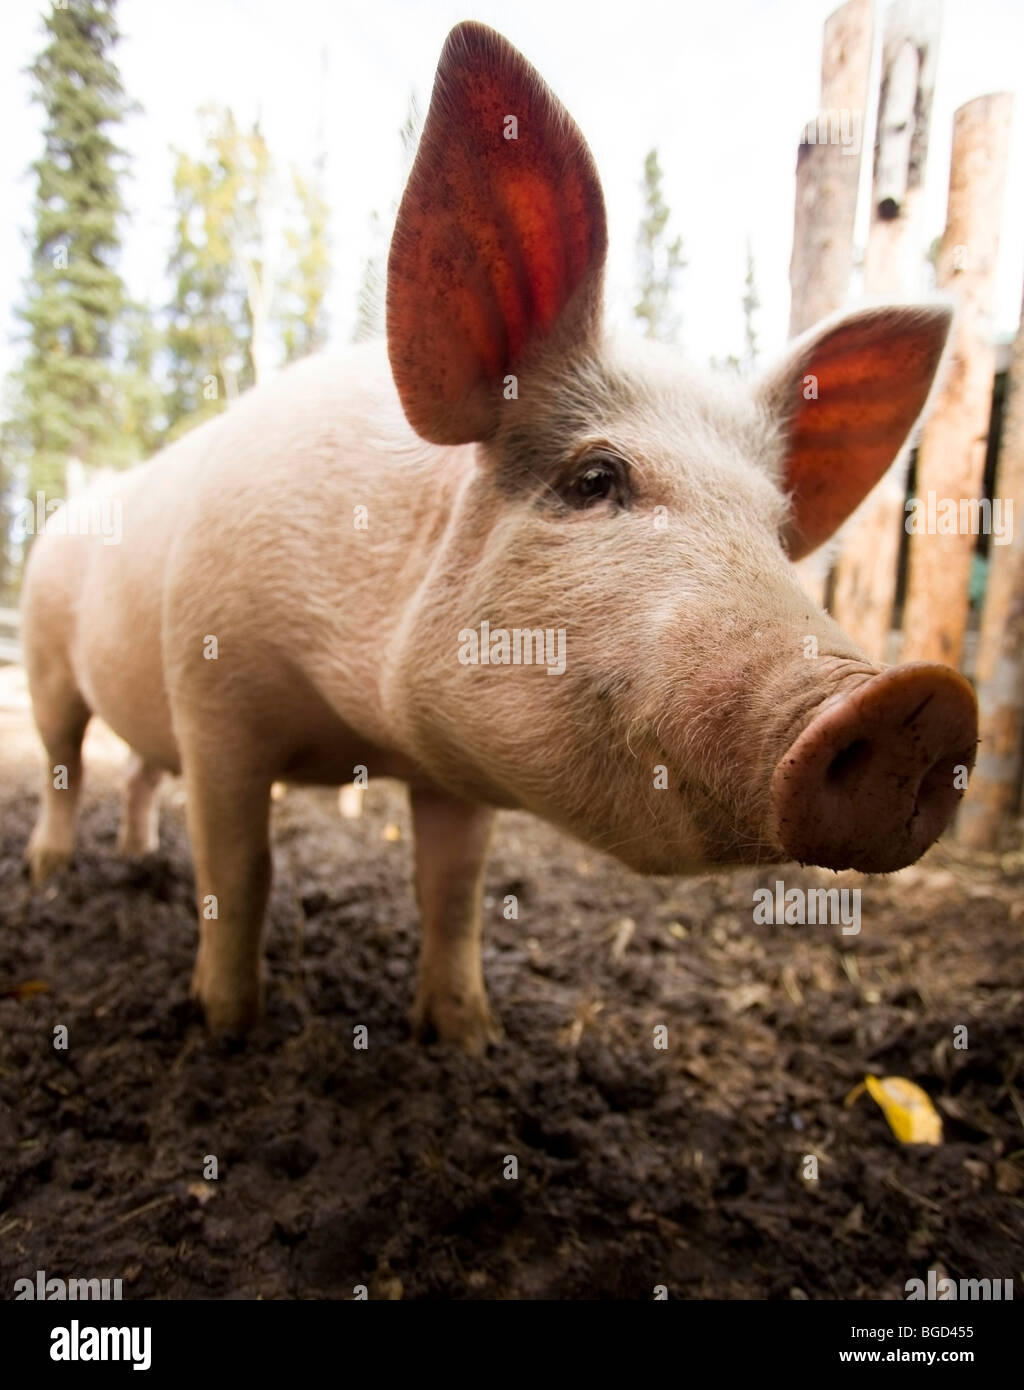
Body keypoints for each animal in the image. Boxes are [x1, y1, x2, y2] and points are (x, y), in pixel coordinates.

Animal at [20, 21, 977, 1053]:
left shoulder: (455, 767)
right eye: (594, 479)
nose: (917, 700)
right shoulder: (214, 693)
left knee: (136, 775)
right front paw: (228, 1030)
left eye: (772, 528)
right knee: (66, 764)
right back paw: (48, 874)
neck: (361, 723)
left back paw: (138, 858)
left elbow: (454, 888)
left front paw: (469, 1038)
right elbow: (240, 876)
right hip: (42, 656)